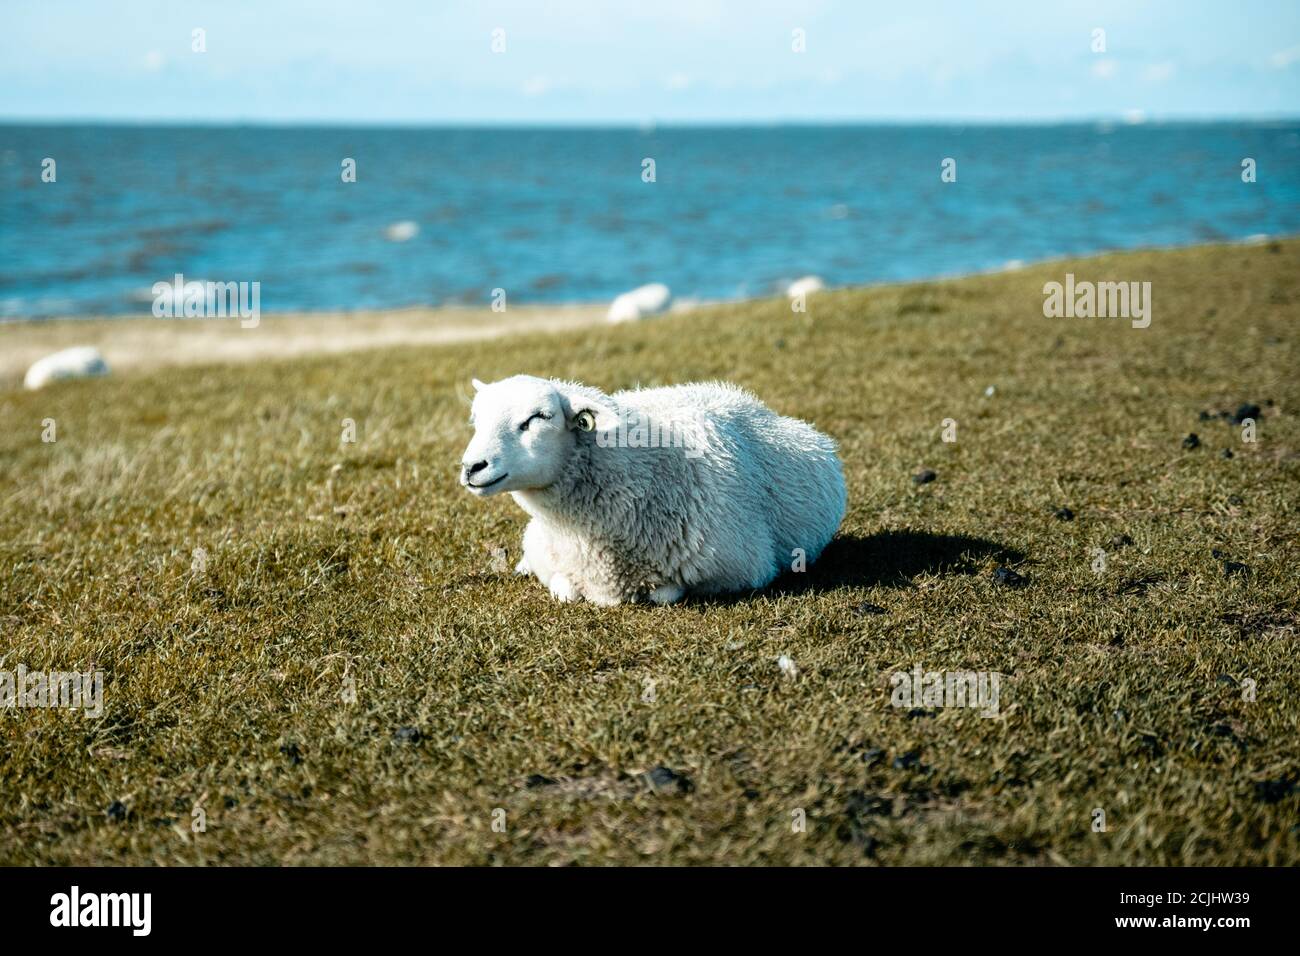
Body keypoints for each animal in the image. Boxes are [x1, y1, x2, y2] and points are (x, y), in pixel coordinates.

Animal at [459, 375, 846, 605]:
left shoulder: (743, 568)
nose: (471, 467)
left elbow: (666, 593)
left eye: (538, 417)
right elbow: (564, 588)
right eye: (476, 420)